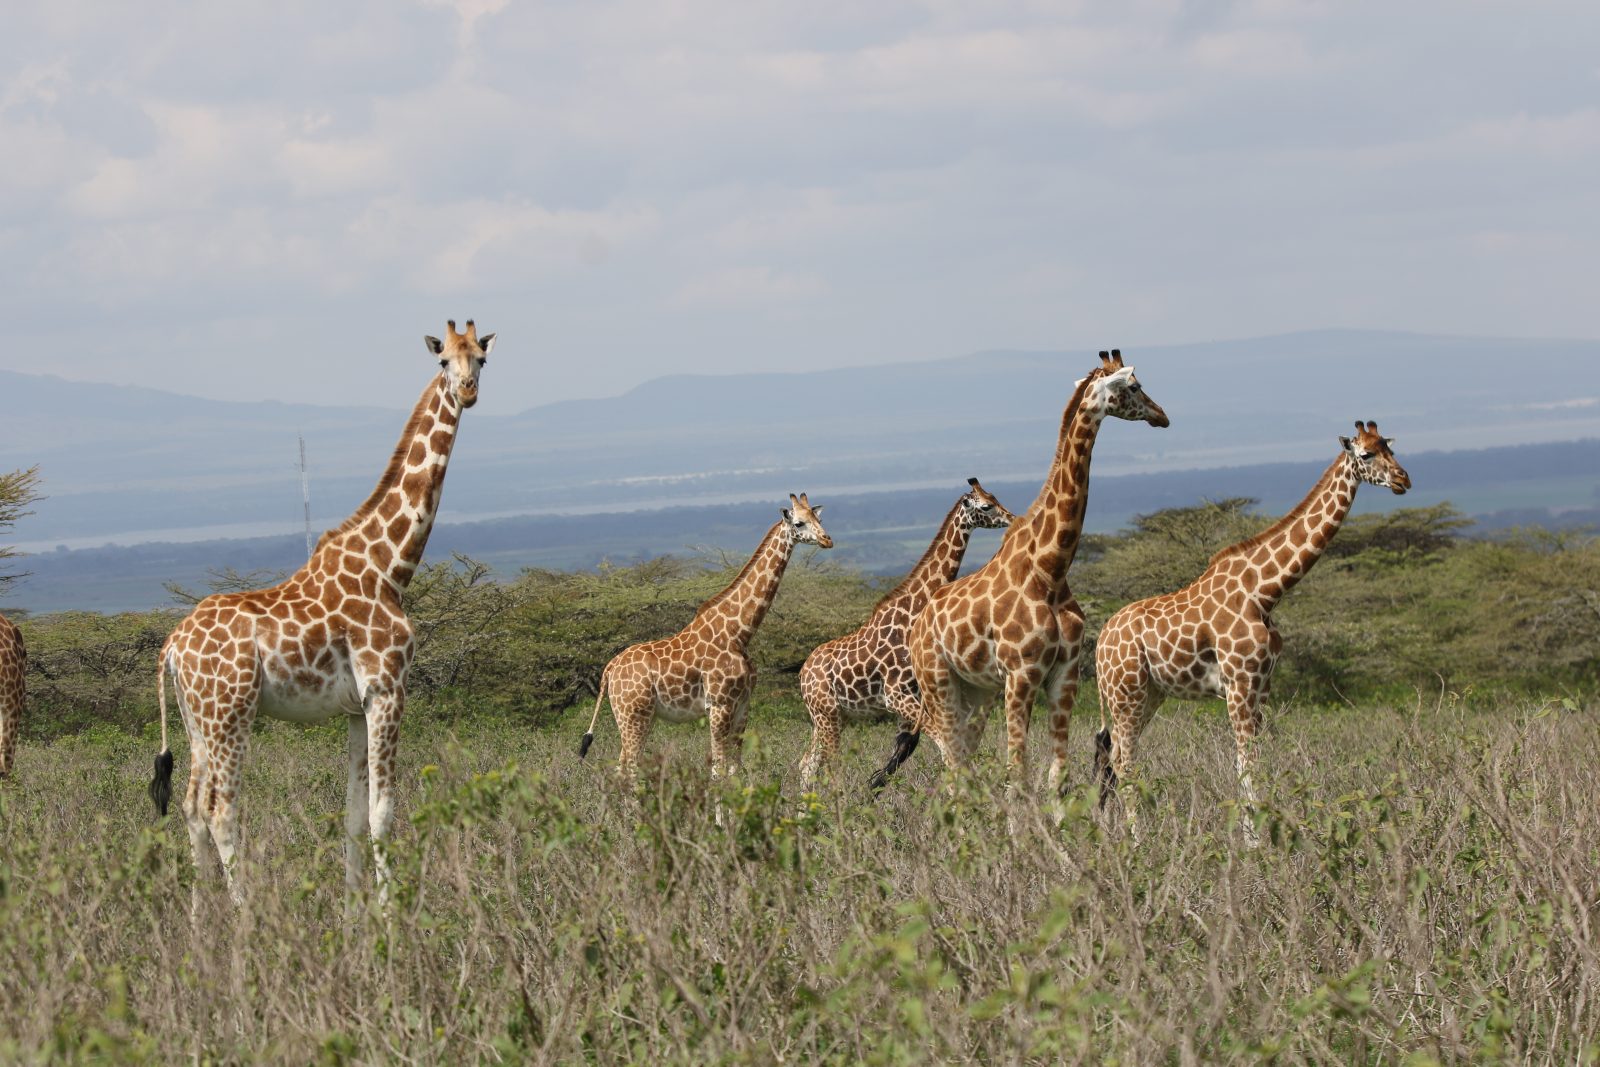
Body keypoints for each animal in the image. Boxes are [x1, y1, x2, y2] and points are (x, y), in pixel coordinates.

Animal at [149, 319, 494, 905]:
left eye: (482, 359)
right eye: (443, 360)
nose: (468, 391)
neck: (389, 565)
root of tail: (172, 647)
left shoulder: (356, 706)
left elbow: (353, 817)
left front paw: (356, 913)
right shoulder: (387, 689)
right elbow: (383, 813)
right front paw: (391, 913)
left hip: (197, 722)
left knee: (193, 809)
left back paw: (202, 920)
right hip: (230, 714)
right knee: (221, 812)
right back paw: (244, 916)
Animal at [580, 494, 832, 780]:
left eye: (819, 518)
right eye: (799, 523)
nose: (827, 540)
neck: (739, 633)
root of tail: (609, 669)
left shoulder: (743, 704)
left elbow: (735, 768)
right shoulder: (719, 705)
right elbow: (718, 770)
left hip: (640, 716)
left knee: (622, 767)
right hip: (633, 714)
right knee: (630, 768)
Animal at [798, 479, 1014, 789]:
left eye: (996, 498)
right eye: (986, 506)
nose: (1011, 518)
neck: (913, 612)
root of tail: (802, 674)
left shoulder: (913, 699)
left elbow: (910, 747)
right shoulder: (896, 696)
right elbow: (943, 745)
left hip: (831, 716)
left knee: (807, 765)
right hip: (827, 715)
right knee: (829, 766)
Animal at [879, 350, 1170, 792]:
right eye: (1134, 387)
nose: (1162, 416)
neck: (1050, 569)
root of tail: (919, 626)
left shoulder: (1065, 674)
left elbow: (1057, 773)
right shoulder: (1021, 674)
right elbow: (1018, 771)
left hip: (975, 691)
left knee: (960, 764)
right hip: (937, 682)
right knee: (953, 765)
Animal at [1093, 421, 1410, 840]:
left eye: (1390, 448)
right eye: (1366, 454)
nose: (1404, 479)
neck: (1265, 592)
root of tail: (1100, 642)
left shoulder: (1261, 685)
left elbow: (1252, 762)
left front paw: (1256, 835)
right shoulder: (1239, 686)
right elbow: (1247, 764)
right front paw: (1253, 842)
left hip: (1147, 695)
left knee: (1111, 756)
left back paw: (1111, 830)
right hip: (1125, 694)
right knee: (1124, 761)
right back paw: (1137, 838)